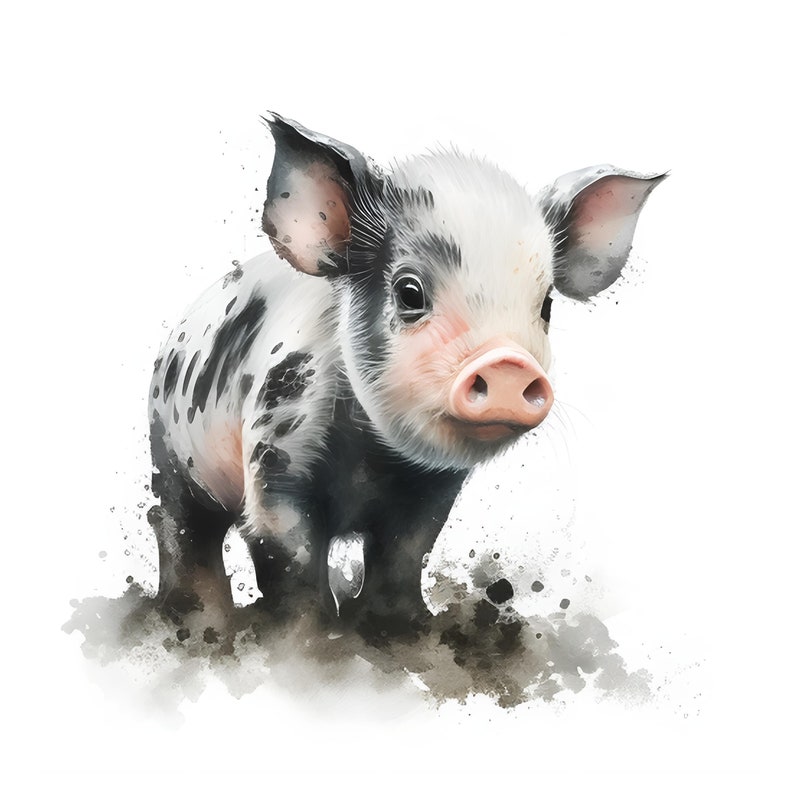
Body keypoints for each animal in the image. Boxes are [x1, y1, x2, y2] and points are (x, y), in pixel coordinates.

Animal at [147, 114, 664, 628]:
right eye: (409, 292)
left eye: (547, 306)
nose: (508, 364)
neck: (373, 462)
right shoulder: (275, 453)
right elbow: (288, 555)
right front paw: (310, 637)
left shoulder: (433, 490)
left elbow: (405, 553)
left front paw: (402, 628)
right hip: (168, 453)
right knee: (179, 528)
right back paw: (196, 619)